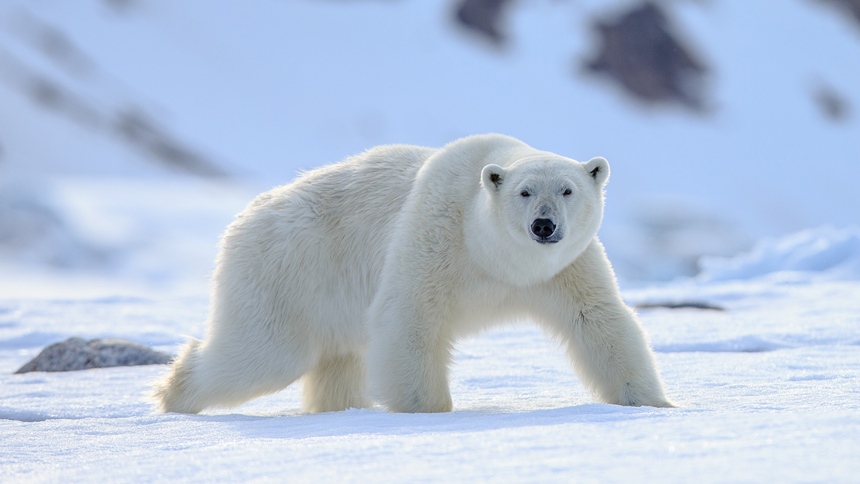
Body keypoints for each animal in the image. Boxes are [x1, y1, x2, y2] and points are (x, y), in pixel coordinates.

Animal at [153, 133, 673, 414]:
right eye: (524, 192)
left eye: (567, 189)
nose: (543, 226)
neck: (495, 257)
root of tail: (244, 217)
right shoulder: (436, 235)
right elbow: (410, 318)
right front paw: (428, 411)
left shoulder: (564, 269)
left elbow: (598, 320)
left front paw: (654, 404)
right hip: (287, 271)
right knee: (263, 353)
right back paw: (173, 394)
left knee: (337, 361)